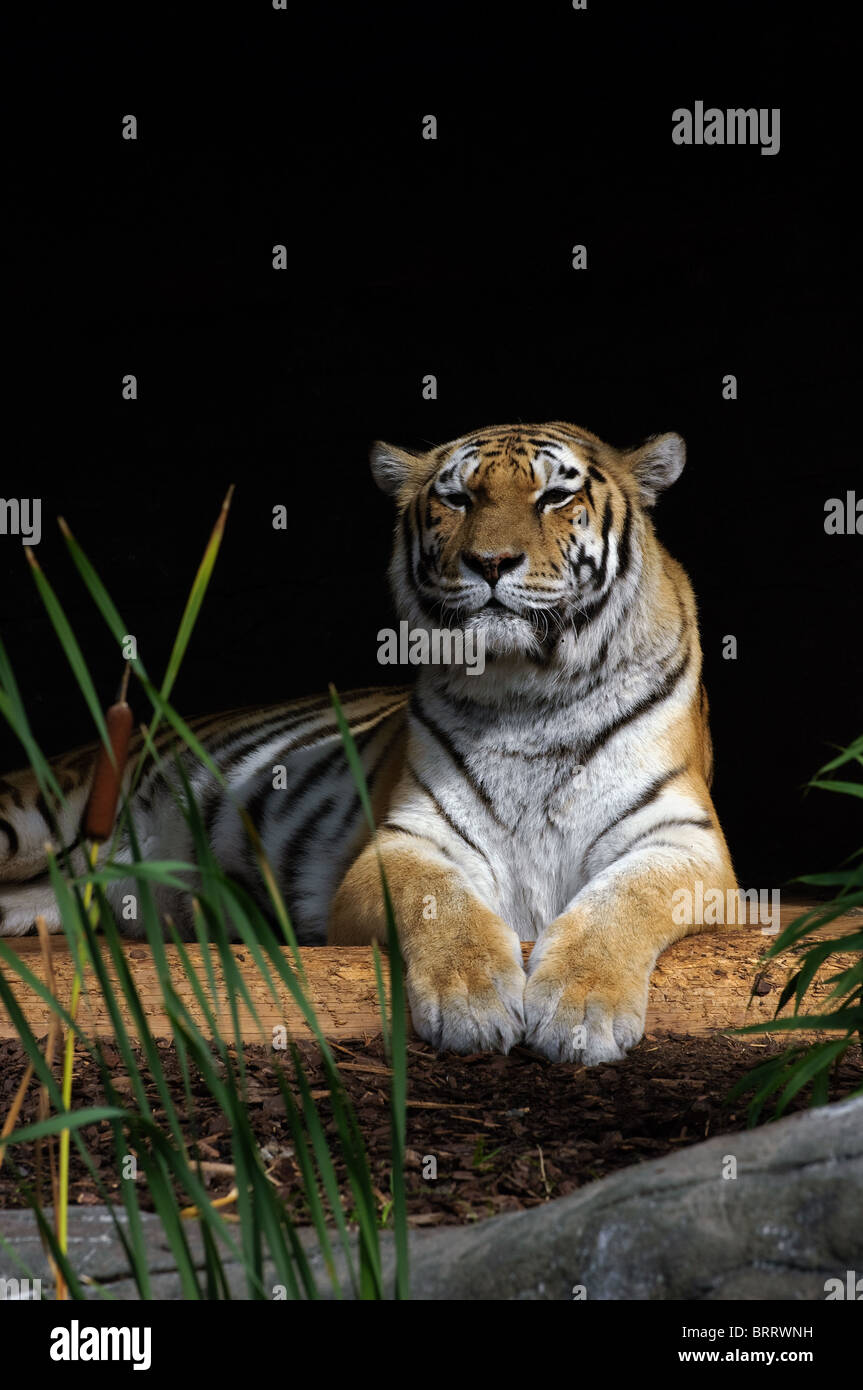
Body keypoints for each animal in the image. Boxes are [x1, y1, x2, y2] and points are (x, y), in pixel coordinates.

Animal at [0, 422, 737, 1064]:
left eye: (555, 496)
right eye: (457, 498)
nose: (490, 562)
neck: (529, 692)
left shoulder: (683, 843)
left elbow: (621, 902)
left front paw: (581, 1009)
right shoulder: (403, 841)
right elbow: (438, 903)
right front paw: (473, 1002)